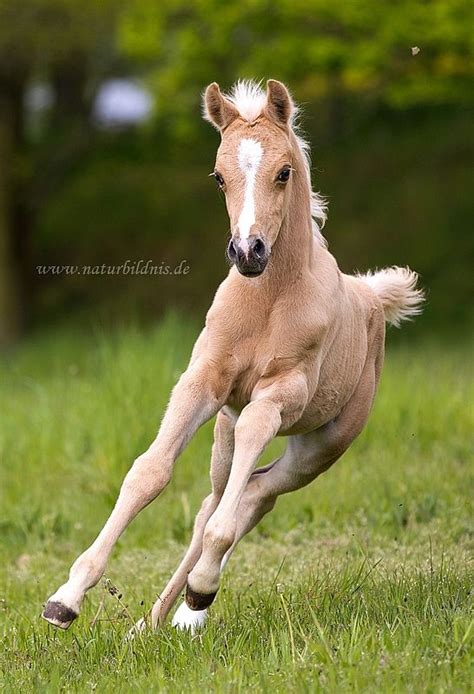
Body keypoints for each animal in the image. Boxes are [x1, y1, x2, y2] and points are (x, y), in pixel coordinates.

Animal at [43, 79, 423, 633]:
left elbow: (230, 508)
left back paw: (195, 602)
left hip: (321, 446)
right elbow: (148, 473)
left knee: (255, 495)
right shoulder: (203, 382)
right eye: (219, 177)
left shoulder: (277, 395)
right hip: (223, 428)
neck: (268, 298)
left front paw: (202, 589)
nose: (248, 253)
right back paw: (153, 624)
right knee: (214, 500)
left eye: (284, 172)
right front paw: (65, 600)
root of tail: (371, 295)